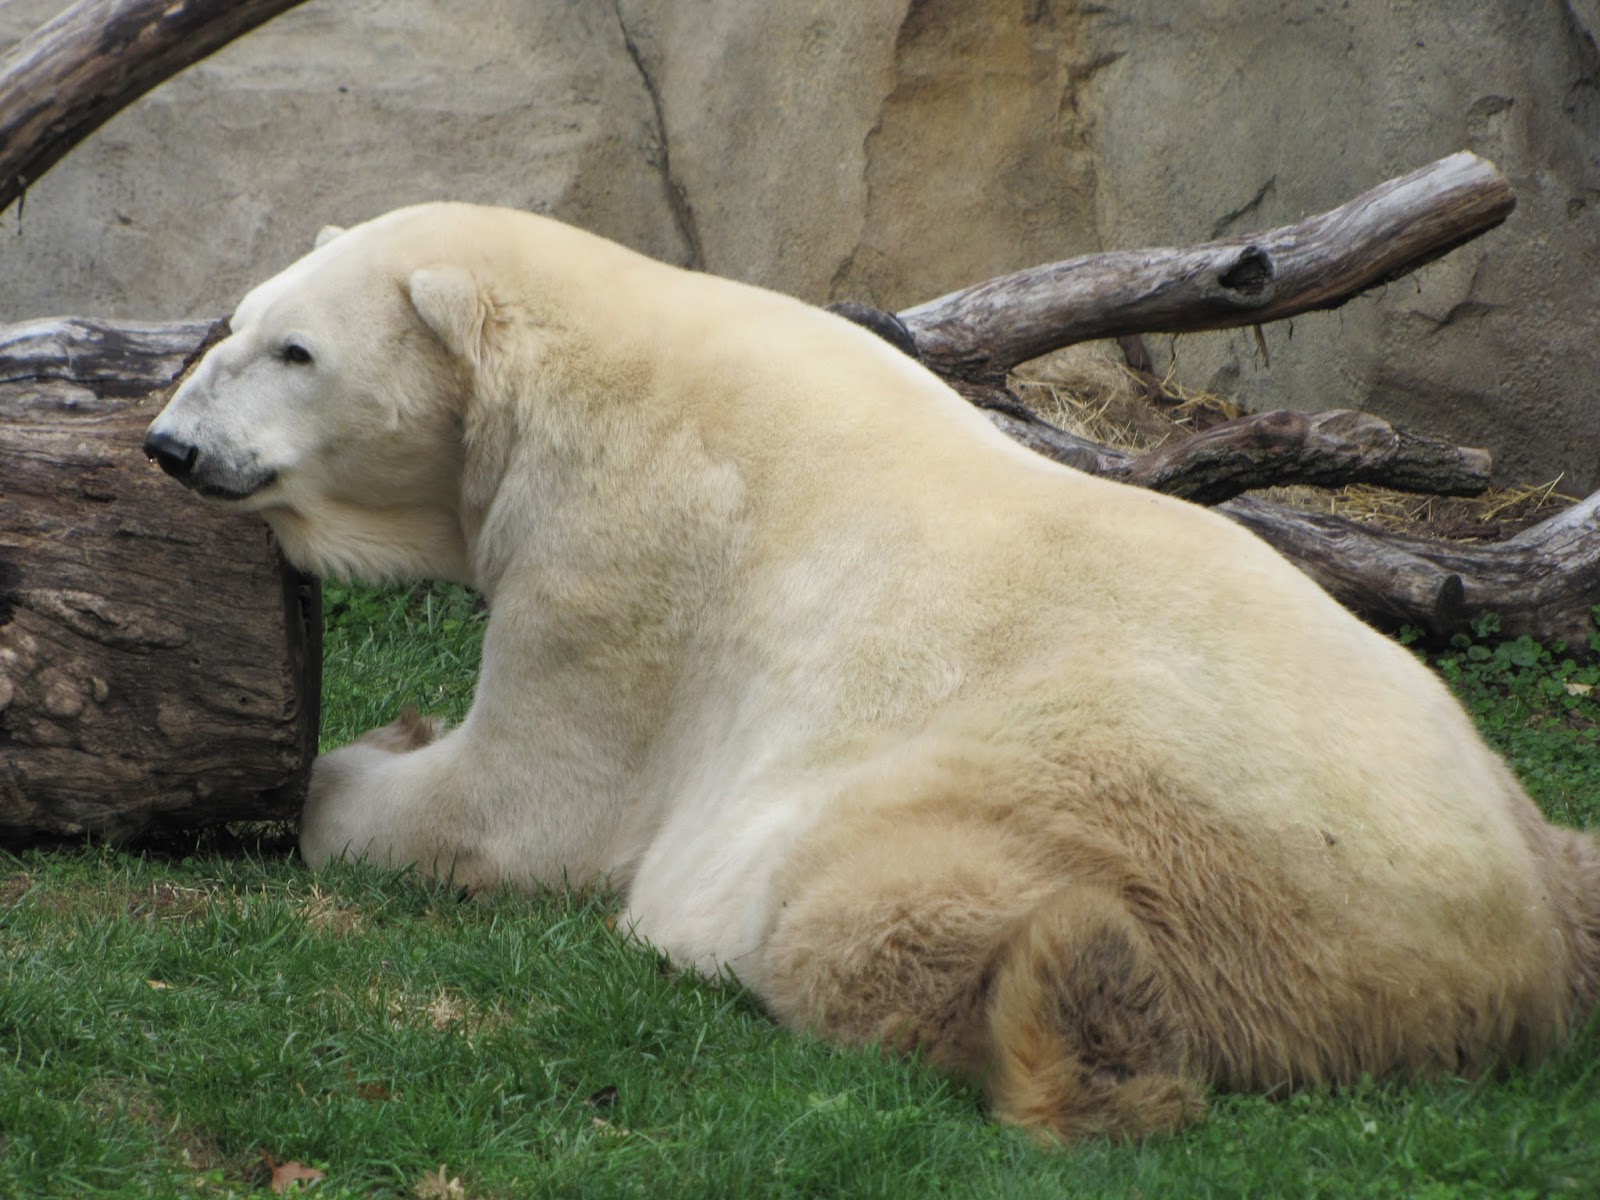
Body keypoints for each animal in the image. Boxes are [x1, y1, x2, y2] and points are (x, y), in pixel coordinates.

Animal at [142, 203, 1600, 1142]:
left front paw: (353, 768)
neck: (583, 360)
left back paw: (1068, 1012)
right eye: (235, 323)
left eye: (295, 351)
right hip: (1524, 827)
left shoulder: (623, 543)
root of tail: (1491, 969)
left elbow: (523, 806)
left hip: (1120, 794)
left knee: (879, 903)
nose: (168, 444)